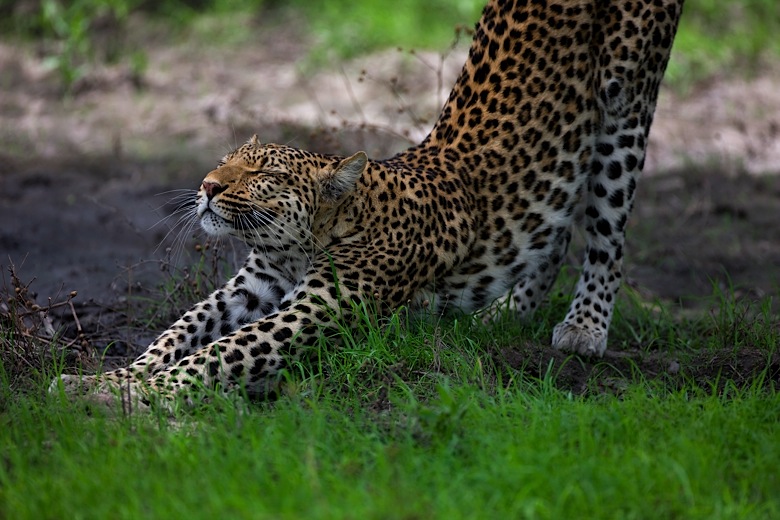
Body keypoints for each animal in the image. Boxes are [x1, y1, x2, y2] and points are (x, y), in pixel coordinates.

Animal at [52, 0, 684, 406]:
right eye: (226, 159)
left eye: (263, 173)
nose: (208, 185)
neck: (298, 247)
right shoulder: (251, 287)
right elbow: (179, 331)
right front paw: (106, 380)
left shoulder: (320, 306)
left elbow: (223, 352)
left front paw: (139, 395)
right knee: (553, 221)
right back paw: (504, 313)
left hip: (628, 101)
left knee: (607, 230)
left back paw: (584, 327)